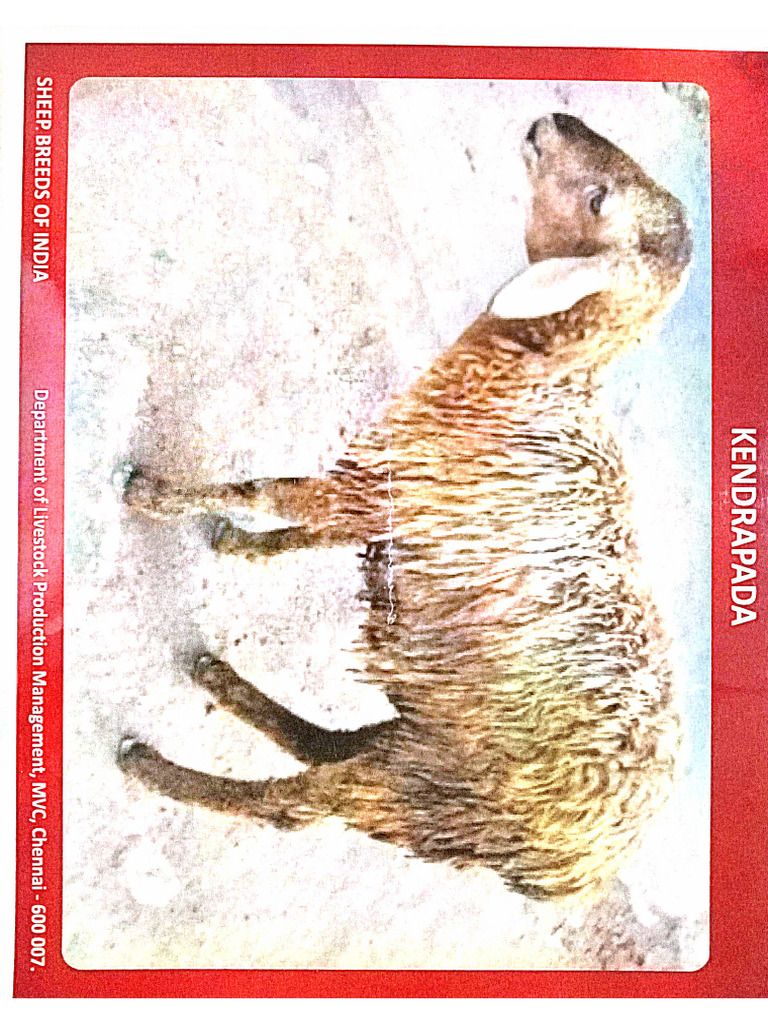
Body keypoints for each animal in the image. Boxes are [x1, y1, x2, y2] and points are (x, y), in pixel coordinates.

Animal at [119, 113, 692, 901]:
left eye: (598, 201)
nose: (549, 122)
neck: (536, 384)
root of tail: (579, 874)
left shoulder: (380, 490)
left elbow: (266, 492)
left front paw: (156, 500)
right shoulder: (391, 497)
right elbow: (304, 529)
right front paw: (240, 546)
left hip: (434, 785)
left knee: (296, 806)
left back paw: (154, 768)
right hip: (434, 749)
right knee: (328, 747)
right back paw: (222, 686)